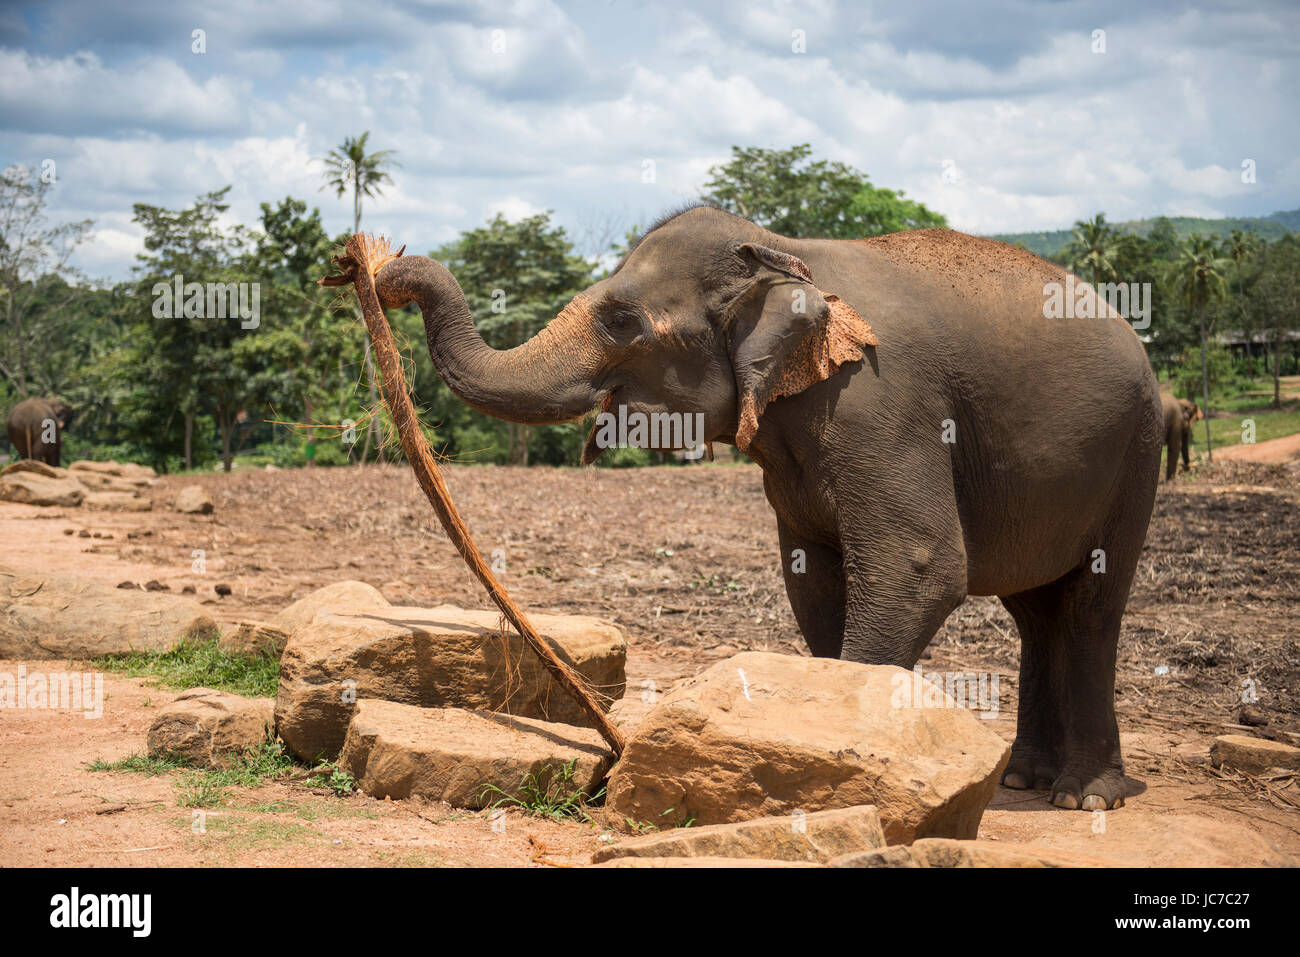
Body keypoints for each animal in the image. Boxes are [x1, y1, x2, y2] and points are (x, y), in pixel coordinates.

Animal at [352, 204, 1162, 812]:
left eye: (621, 320)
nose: (383, 271)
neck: (786, 251)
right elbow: (812, 580)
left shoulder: (883, 400)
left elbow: (918, 566)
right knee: (1038, 612)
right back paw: (1026, 778)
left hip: (1138, 449)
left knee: (1090, 606)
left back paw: (1086, 797)